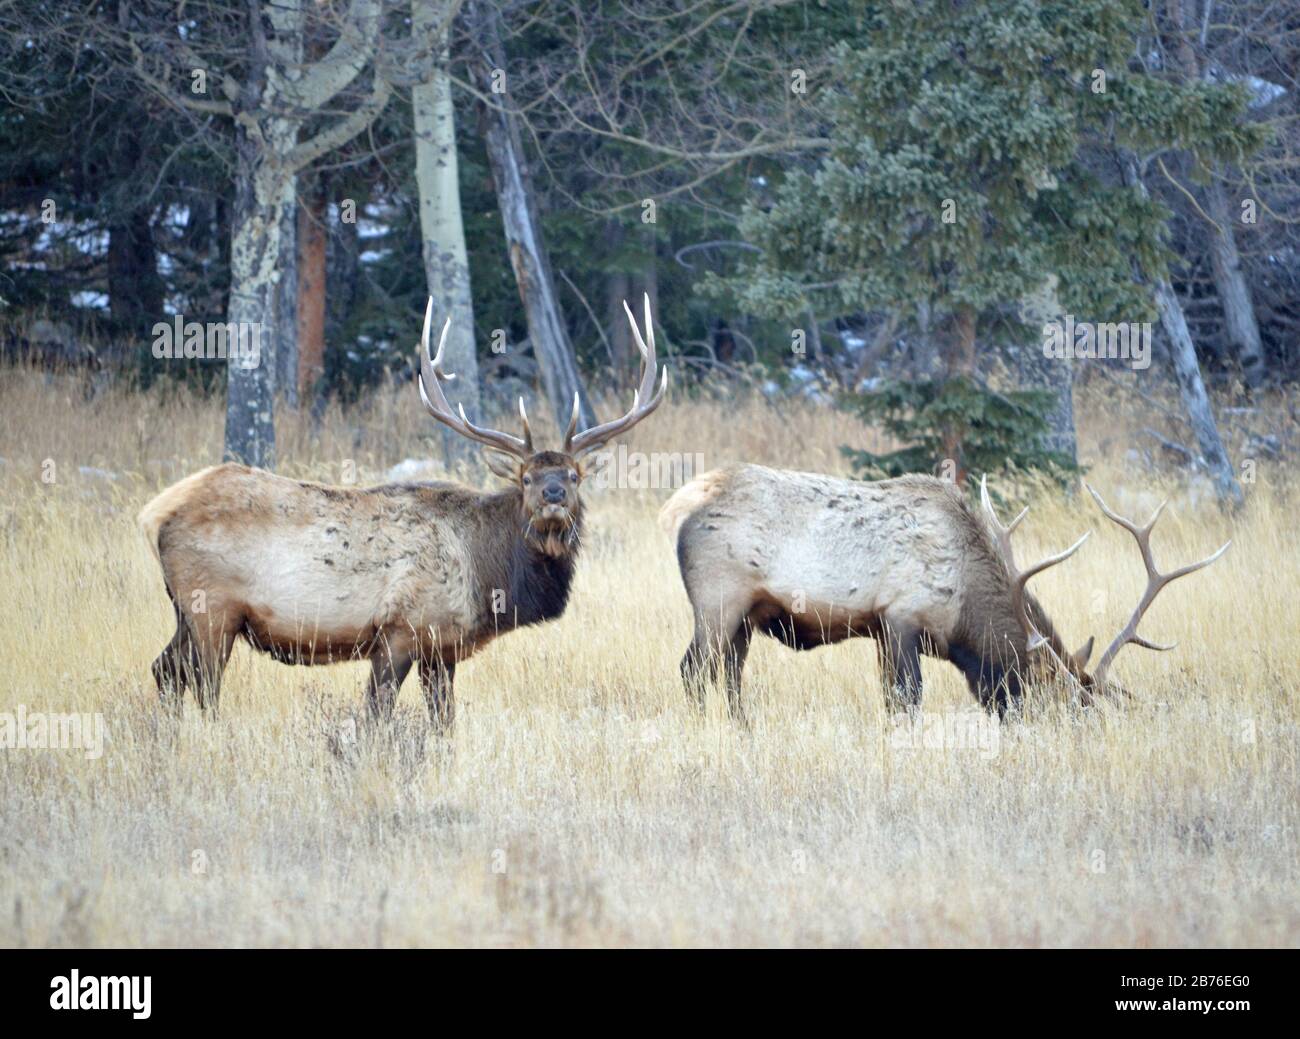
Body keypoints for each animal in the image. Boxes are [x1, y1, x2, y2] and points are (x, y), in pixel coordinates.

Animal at [139, 296, 667, 728]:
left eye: (575, 476)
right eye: (525, 478)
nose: (553, 494)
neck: (487, 573)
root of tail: (153, 515)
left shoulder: (442, 647)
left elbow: (444, 721)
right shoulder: (399, 630)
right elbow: (377, 714)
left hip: (187, 611)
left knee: (164, 670)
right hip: (212, 608)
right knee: (203, 686)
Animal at [659, 465, 1228, 723]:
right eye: (1067, 709)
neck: (964, 620)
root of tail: (681, 506)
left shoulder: (882, 631)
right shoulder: (900, 617)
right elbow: (906, 699)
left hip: (744, 619)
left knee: (730, 678)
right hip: (717, 601)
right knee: (692, 670)